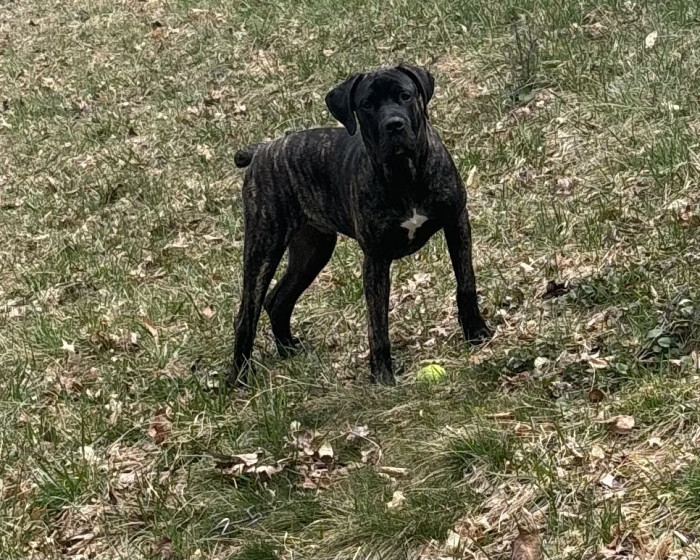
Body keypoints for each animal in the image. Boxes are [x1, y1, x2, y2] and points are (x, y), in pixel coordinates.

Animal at [231, 64, 491, 385]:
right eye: (367, 104)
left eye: (405, 95)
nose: (394, 124)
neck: (405, 174)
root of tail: (263, 149)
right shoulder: (376, 259)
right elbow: (377, 321)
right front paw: (382, 374)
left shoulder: (456, 222)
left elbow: (465, 282)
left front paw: (476, 332)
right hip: (264, 246)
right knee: (246, 314)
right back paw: (240, 376)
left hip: (313, 249)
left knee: (277, 299)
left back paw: (290, 350)